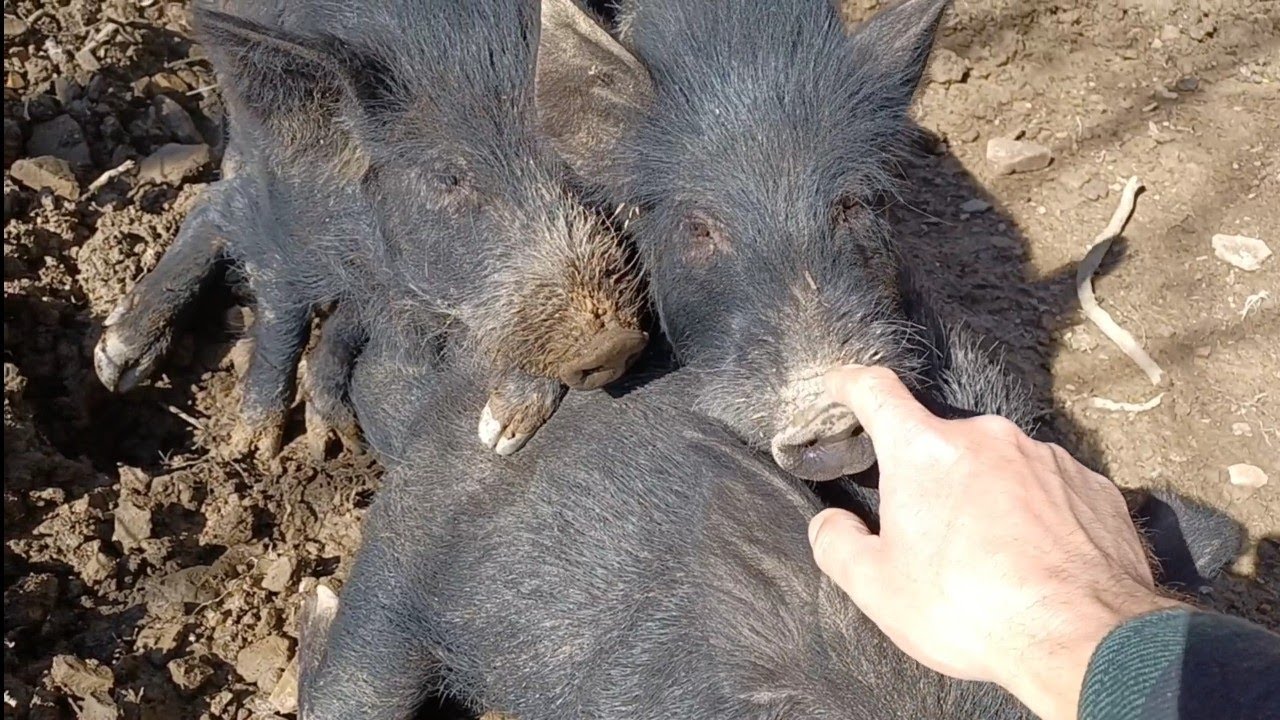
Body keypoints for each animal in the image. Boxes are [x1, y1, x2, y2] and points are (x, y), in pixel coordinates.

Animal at [92, 0, 647, 464]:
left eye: (573, 160)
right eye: (447, 177)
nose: (614, 343)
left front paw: (498, 435)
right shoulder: (286, 205)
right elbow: (279, 303)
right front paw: (254, 451)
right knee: (217, 200)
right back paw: (116, 365)